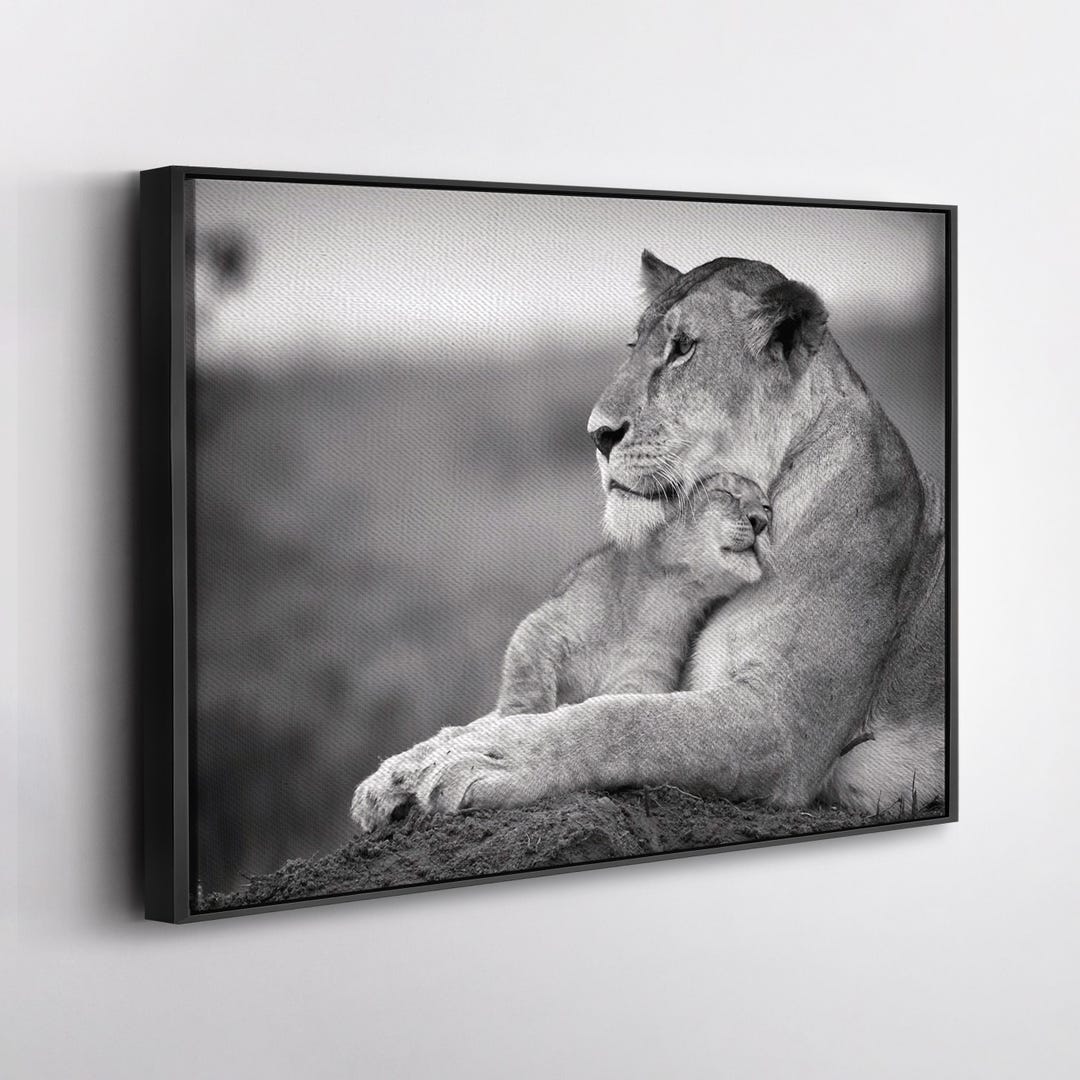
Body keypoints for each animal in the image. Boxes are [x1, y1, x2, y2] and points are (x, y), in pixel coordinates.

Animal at [496, 473, 770, 716]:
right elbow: (529, 679)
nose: (760, 521)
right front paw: (522, 715)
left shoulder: (641, 678)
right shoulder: (546, 625)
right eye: (726, 493)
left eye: (766, 508)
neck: (669, 594)